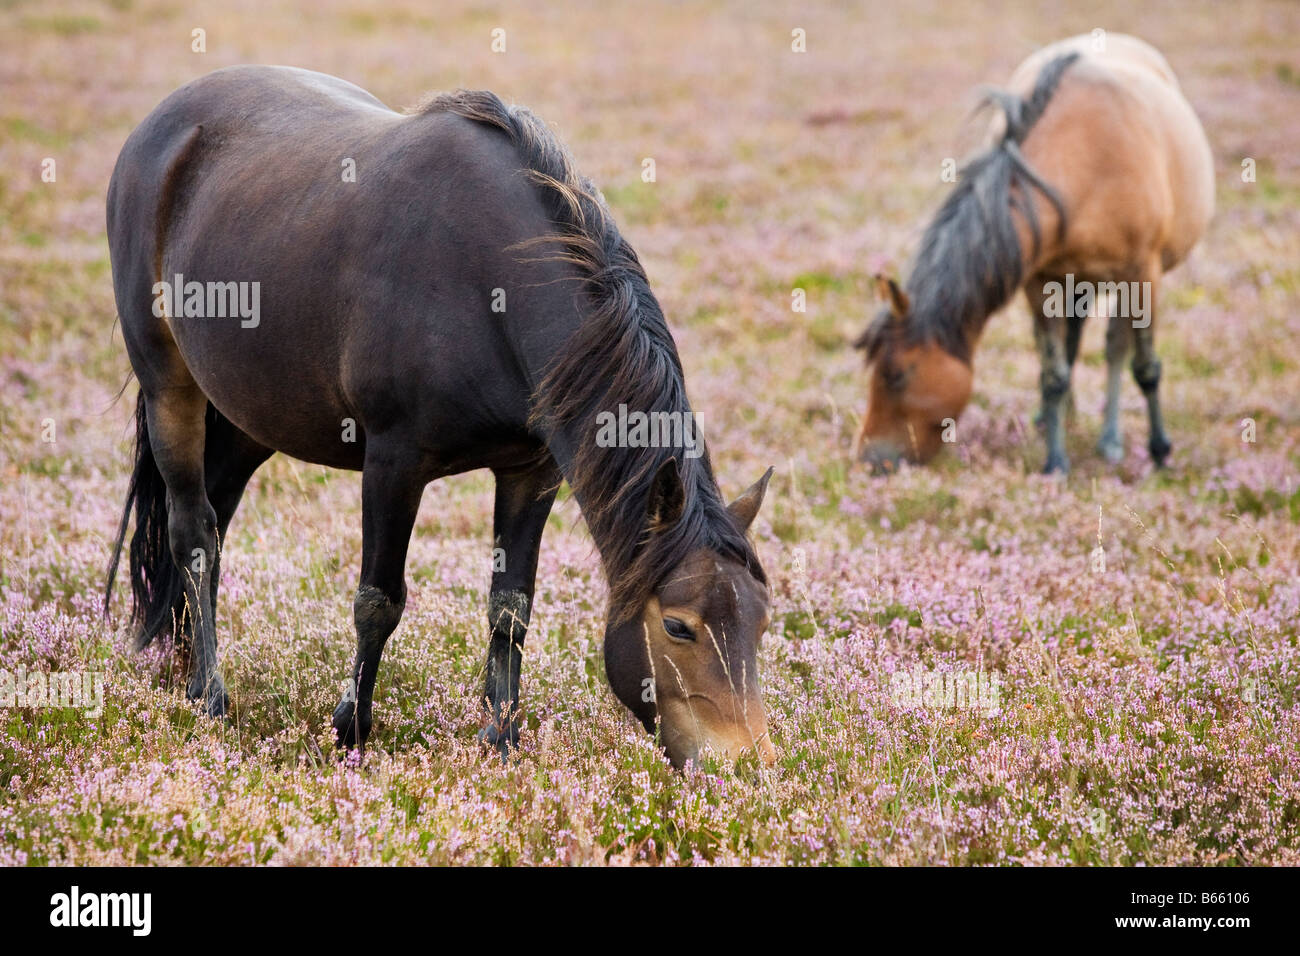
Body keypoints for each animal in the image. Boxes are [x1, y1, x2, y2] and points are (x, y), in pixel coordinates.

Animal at [103, 65, 777, 769]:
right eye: (678, 626)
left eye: (761, 620)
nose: (744, 764)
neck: (491, 286)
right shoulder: (393, 462)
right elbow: (378, 602)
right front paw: (350, 730)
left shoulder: (532, 471)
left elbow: (511, 606)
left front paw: (501, 739)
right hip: (170, 387)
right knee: (194, 531)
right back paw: (208, 694)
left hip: (249, 415)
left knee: (217, 516)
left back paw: (186, 666)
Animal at [853, 34, 1214, 474]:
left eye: (895, 375)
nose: (866, 459)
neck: (1089, 158)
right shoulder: (1041, 282)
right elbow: (1053, 371)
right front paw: (1055, 460)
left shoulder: (1144, 275)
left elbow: (1144, 365)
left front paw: (1160, 449)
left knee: (1116, 346)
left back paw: (1110, 438)